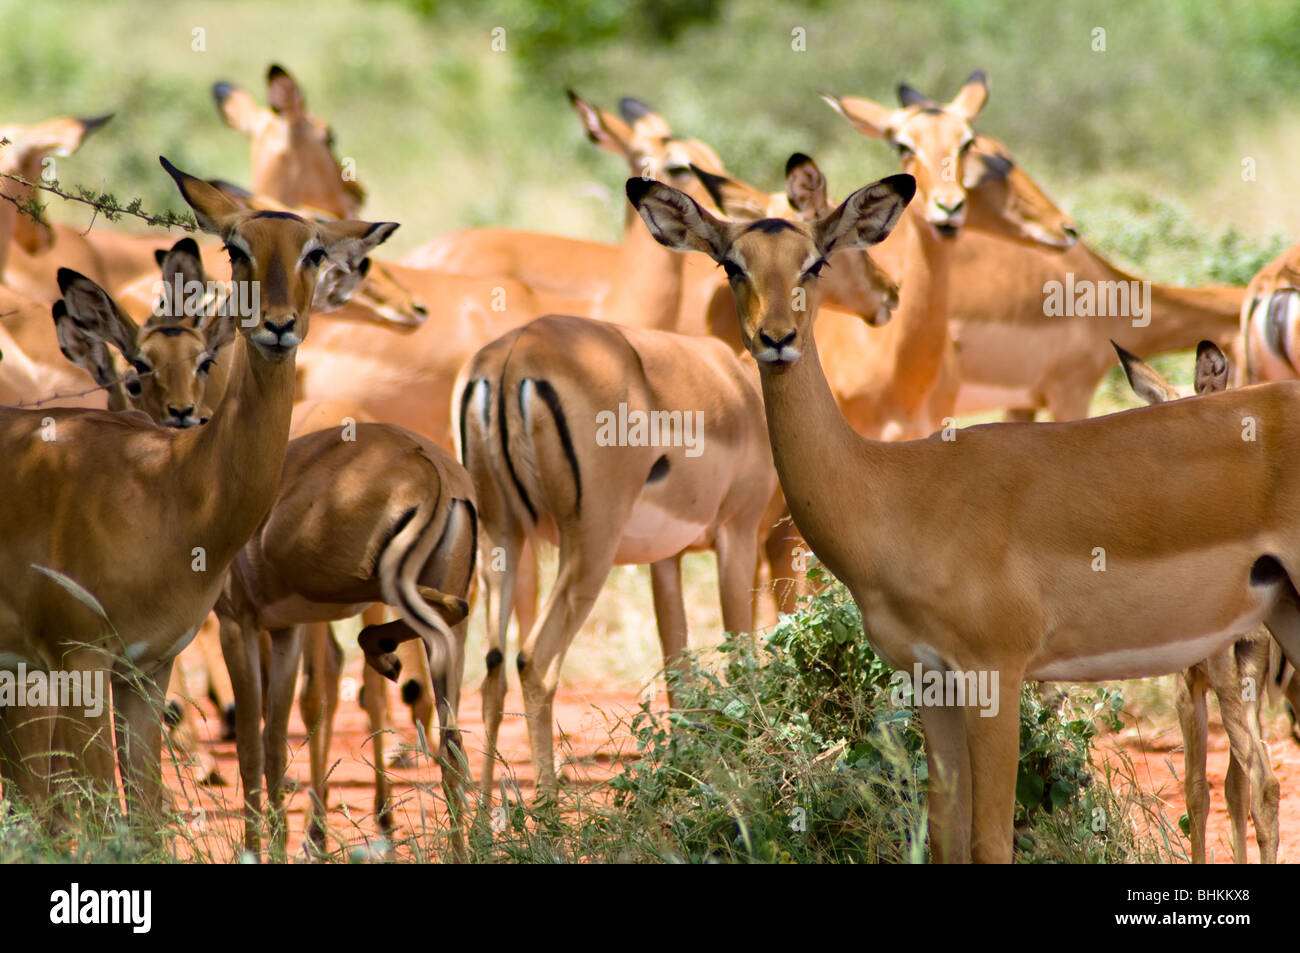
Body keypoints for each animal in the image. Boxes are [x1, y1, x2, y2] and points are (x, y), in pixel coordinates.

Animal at [0, 157, 398, 830]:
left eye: (314, 250)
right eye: (235, 248)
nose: (278, 325)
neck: (168, 489)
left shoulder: (144, 670)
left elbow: (144, 821)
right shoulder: (81, 662)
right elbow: (96, 815)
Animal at [457, 313, 776, 796]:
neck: (734, 384)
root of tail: (516, 353)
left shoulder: (665, 560)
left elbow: (677, 670)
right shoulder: (737, 533)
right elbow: (741, 658)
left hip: (502, 535)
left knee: (493, 670)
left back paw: (479, 819)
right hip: (590, 547)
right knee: (533, 661)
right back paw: (547, 809)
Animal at [629, 171, 1300, 863]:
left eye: (814, 263)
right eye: (731, 263)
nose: (776, 339)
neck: (896, 491)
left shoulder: (994, 675)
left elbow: (991, 838)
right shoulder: (934, 680)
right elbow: (946, 832)